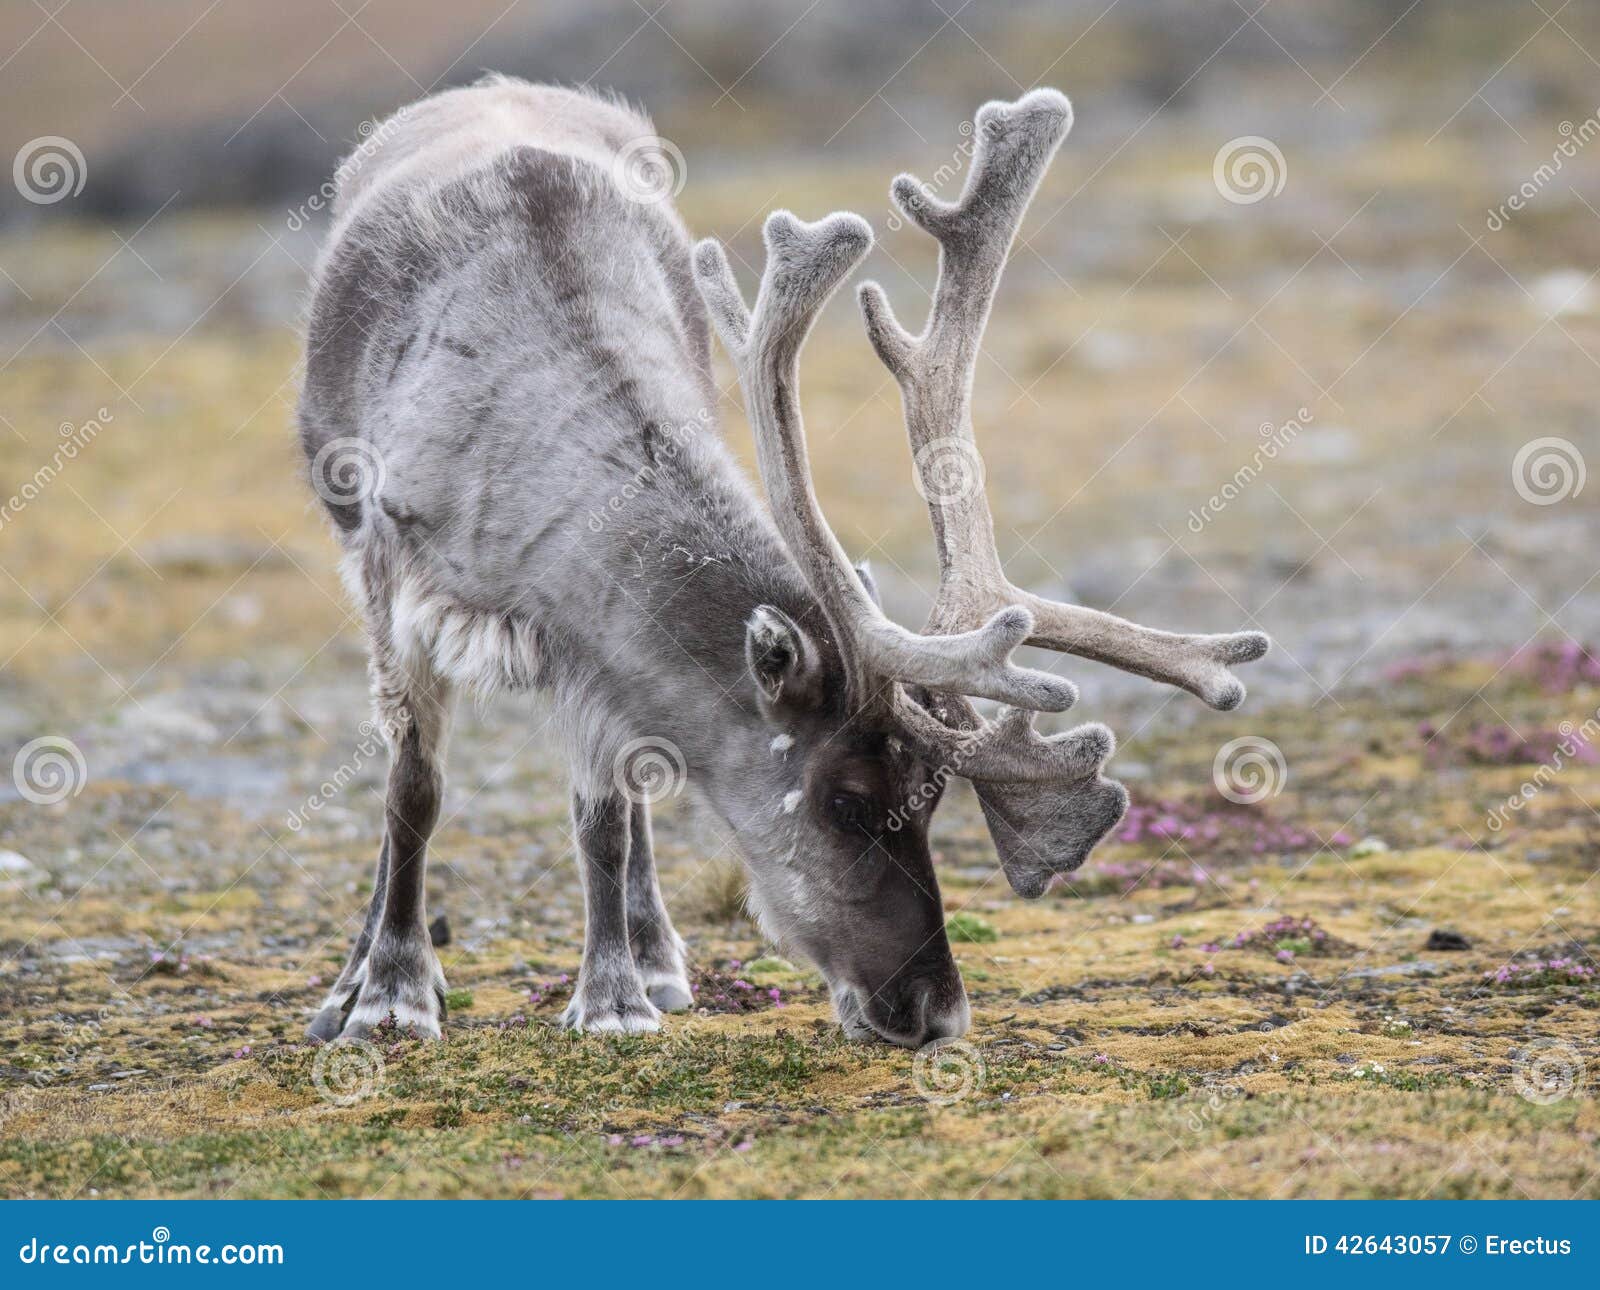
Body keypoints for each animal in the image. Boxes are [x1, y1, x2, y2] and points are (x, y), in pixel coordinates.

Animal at [296, 75, 1268, 1049]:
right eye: (844, 801)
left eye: (933, 795)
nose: (938, 1012)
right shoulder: (394, 578)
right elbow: (413, 791)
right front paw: (391, 993)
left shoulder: (588, 646)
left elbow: (603, 816)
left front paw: (614, 993)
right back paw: (351, 980)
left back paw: (656, 957)